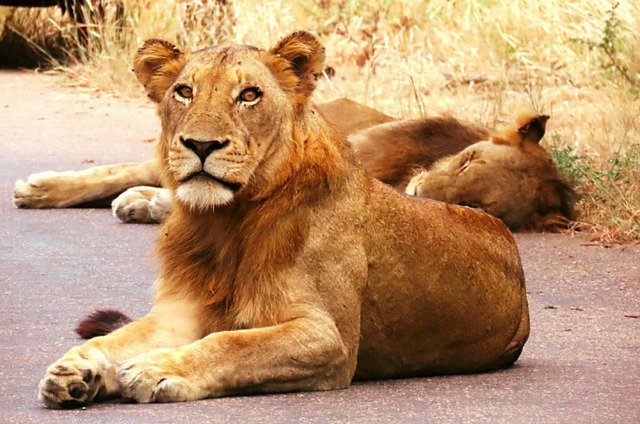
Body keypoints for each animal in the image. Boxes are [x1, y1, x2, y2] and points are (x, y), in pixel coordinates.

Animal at [37, 31, 529, 408]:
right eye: (184, 91)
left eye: (249, 95)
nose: (201, 144)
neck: (226, 221)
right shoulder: (178, 313)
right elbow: (115, 339)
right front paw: (76, 369)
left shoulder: (329, 338)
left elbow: (232, 343)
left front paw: (156, 369)